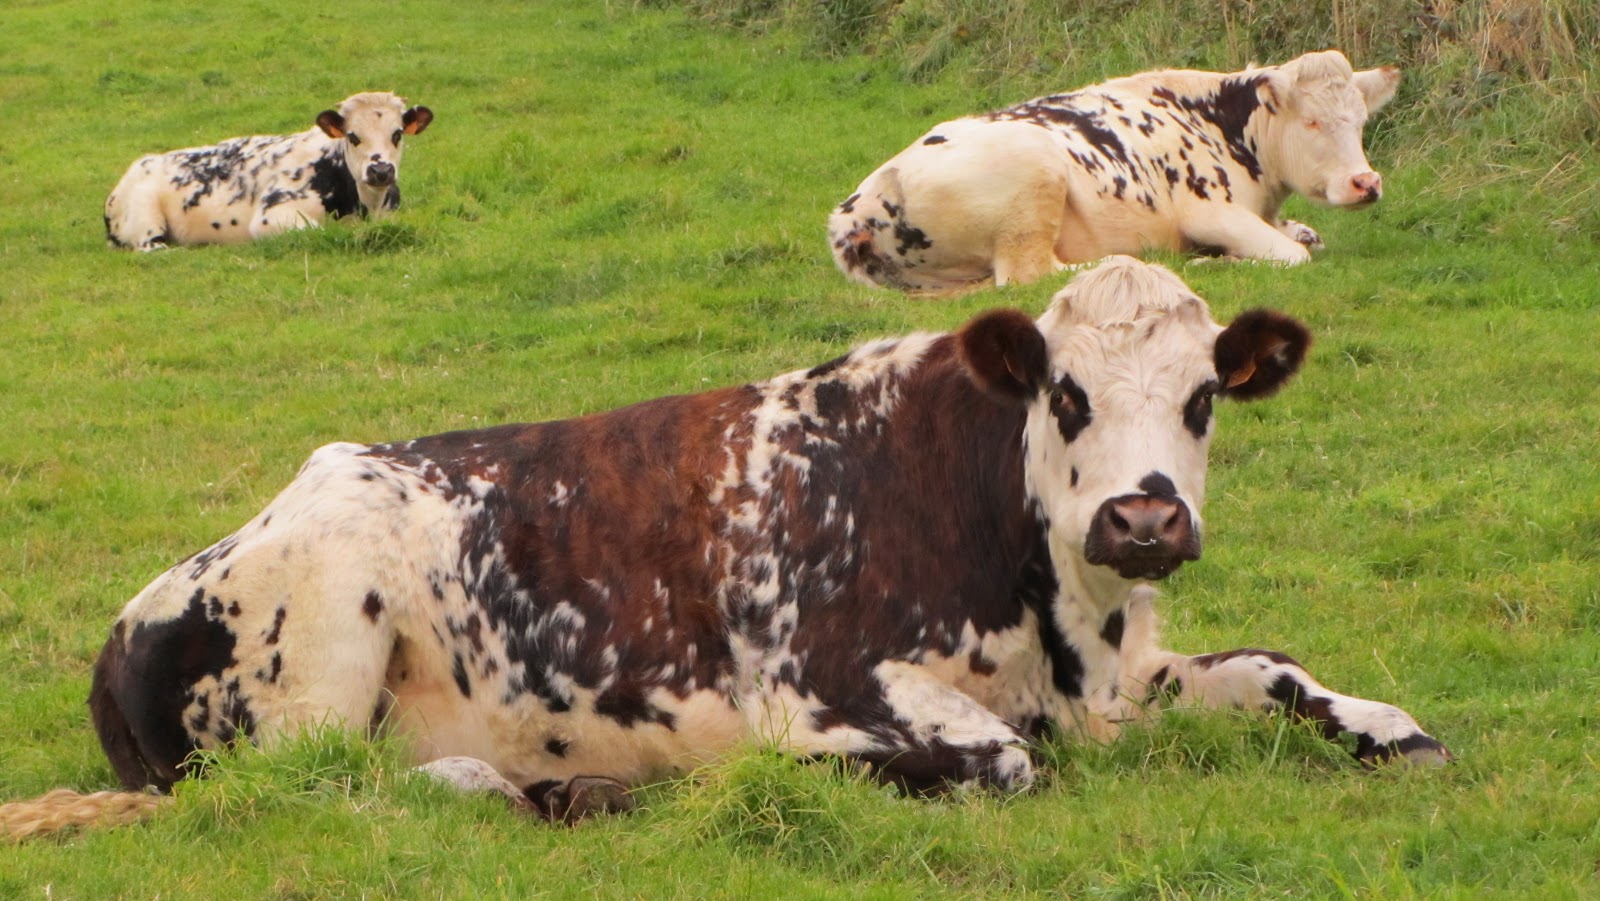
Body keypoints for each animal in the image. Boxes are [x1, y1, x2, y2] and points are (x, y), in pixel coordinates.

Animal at [2, 257, 1446, 838]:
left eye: (1203, 398)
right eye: (1067, 393)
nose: (1142, 519)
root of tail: (134, 617)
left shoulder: (1121, 676)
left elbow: (1276, 668)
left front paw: (1388, 724)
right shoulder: (824, 674)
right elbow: (993, 757)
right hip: (320, 649)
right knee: (321, 791)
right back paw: (556, 790)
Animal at [829, 51, 1400, 294]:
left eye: (1360, 120)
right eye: (1312, 121)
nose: (1366, 183)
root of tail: (854, 210)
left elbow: (1306, 237)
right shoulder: (1207, 210)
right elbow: (1294, 255)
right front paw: (1215, 258)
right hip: (1033, 176)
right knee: (1028, 273)